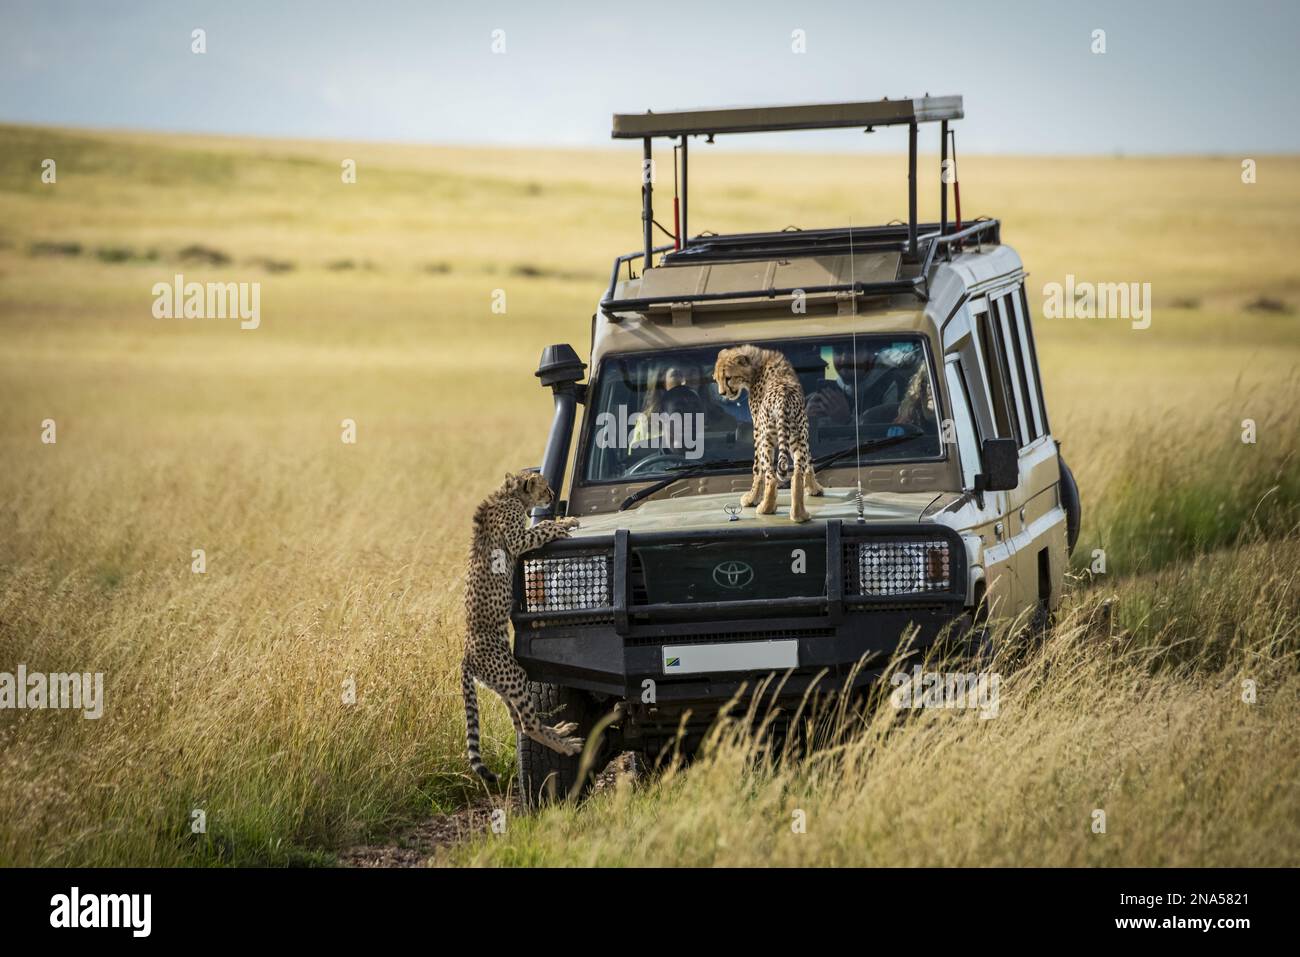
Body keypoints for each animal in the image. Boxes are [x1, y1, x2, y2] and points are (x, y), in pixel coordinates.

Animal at [462, 471, 583, 784]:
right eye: (546, 486)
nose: (552, 496)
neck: (509, 493)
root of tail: (466, 657)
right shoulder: (517, 540)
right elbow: (542, 529)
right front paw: (563, 523)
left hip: (503, 683)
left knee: (518, 721)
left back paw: (560, 731)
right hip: (513, 674)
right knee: (527, 723)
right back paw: (567, 745)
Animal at [713, 344, 823, 523]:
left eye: (728, 378)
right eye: (716, 379)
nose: (722, 394)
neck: (756, 363)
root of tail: (783, 398)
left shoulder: (757, 430)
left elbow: (757, 469)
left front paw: (752, 498)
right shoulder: (802, 436)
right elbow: (809, 462)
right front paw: (814, 489)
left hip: (768, 440)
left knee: (771, 477)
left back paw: (766, 508)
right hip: (797, 437)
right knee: (796, 475)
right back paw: (799, 515)